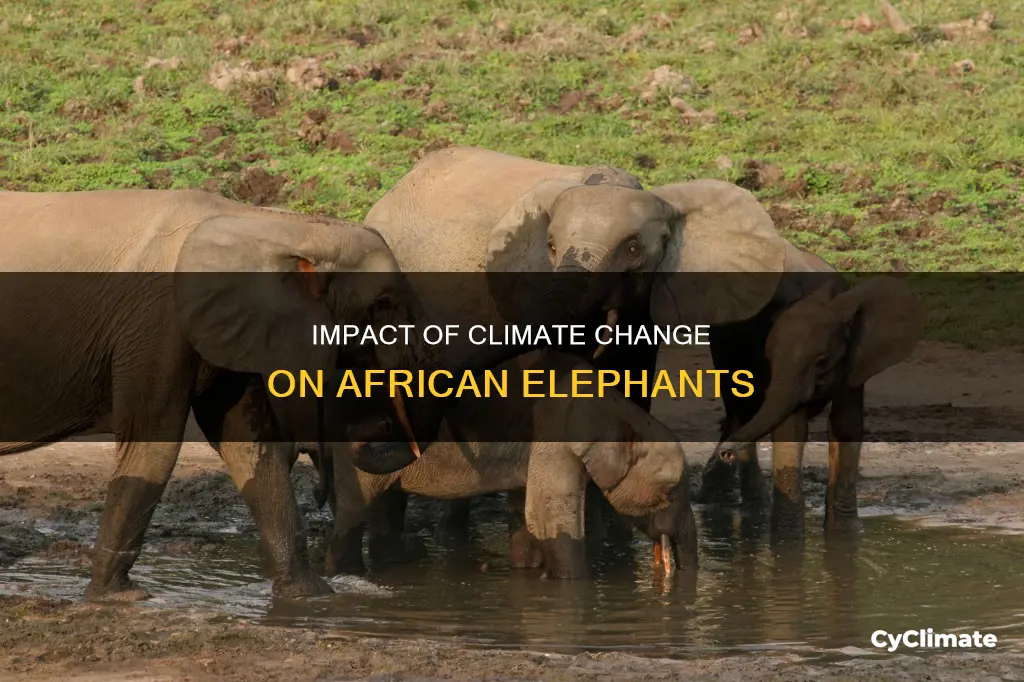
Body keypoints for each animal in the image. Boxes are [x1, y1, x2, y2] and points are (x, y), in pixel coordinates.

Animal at [0, 187, 504, 602]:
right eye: (385, 305)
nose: (368, 429)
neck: (269, 224)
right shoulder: (157, 324)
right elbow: (153, 442)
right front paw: (120, 600)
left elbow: (248, 444)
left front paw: (311, 598)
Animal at [325, 350, 698, 580]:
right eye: (670, 491)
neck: (616, 405)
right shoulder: (554, 437)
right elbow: (549, 517)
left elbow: (523, 512)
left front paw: (531, 574)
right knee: (353, 510)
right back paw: (345, 573)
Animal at [694, 243, 923, 535]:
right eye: (768, 359)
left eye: (822, 361)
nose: (727, 453)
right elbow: (791, 429)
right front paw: (787, 540)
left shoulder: (856, 358)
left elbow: (846, 423)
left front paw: (845, 535)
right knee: (741, 411)